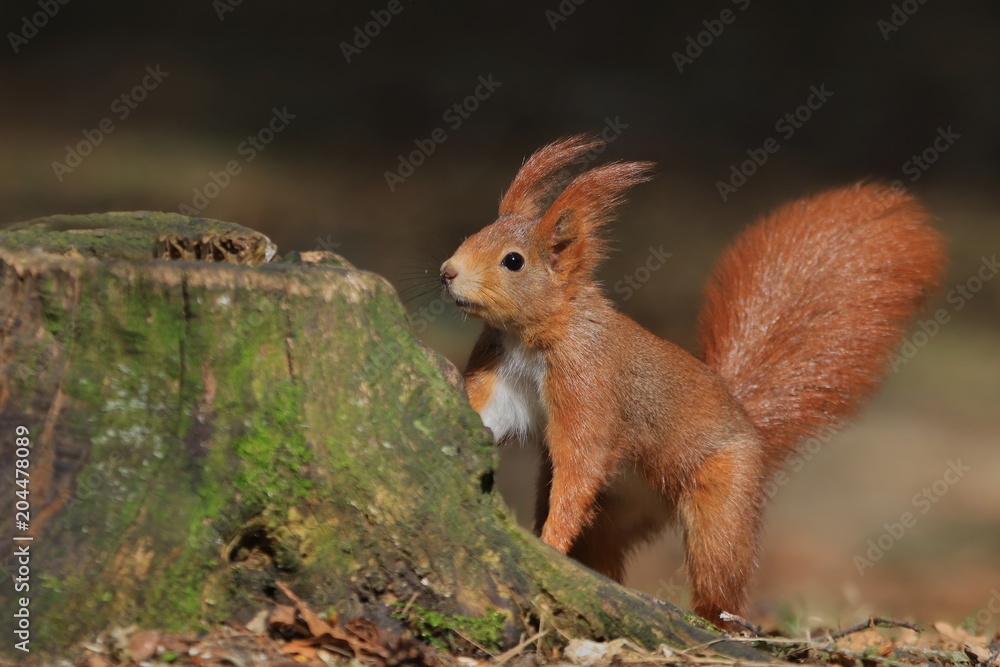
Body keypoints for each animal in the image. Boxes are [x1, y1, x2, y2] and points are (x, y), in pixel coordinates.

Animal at [439, 135, 945, 630]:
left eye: (514, 261)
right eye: (474, 235)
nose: (446, 273)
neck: (529, 337)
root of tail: (747, 419)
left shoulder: (588, 381)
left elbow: (581, 460)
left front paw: (550, 542)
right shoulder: (501, 369)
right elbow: (492, 417)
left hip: (724, 498)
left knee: (720, 571)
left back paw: (718, 620)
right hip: (613, 512)